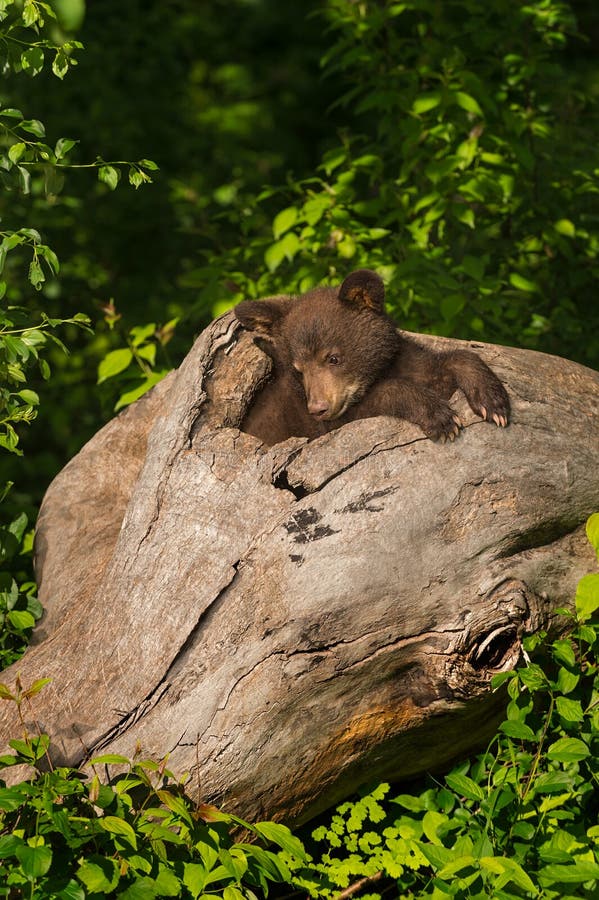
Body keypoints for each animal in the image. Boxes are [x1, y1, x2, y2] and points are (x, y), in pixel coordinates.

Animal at [234, 269, 510, 446]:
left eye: (333, 358)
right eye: (298, 370)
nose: (318, 408)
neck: (377, 372)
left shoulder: (403, 359)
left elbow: (449, 363)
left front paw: (494, 403)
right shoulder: (324, 425)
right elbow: (380, 396)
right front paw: (442, 419)